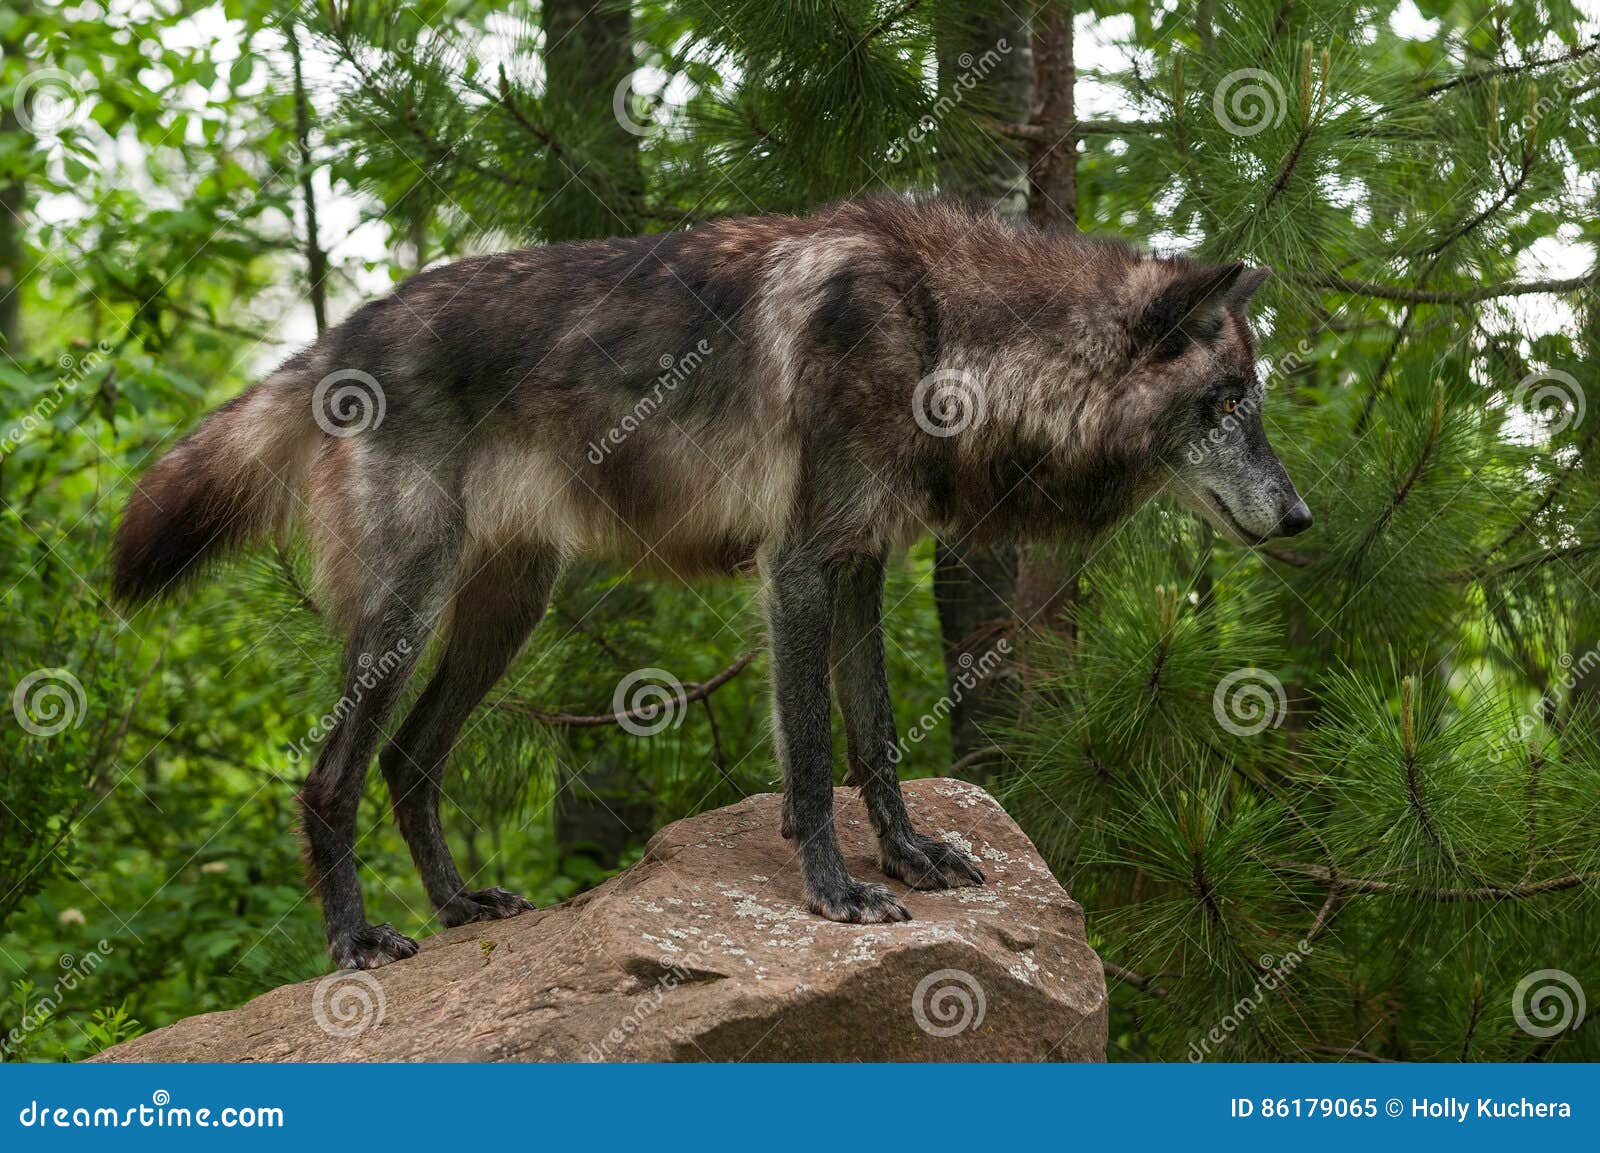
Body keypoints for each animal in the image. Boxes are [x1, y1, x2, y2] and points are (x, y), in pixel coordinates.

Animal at [112, 197, 1310, 969]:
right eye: (1226, 403)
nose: (1300, 517)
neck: (946, 330)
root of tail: (345, 328)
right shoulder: (798, 567)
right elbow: (816, 752)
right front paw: (835, 893)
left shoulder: (861, 564)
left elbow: (877, 737)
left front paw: (911, 857)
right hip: (408, 610)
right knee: (329, 778)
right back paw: (357, 941)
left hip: (505, 609)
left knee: (410, 761)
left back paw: (459, 904)